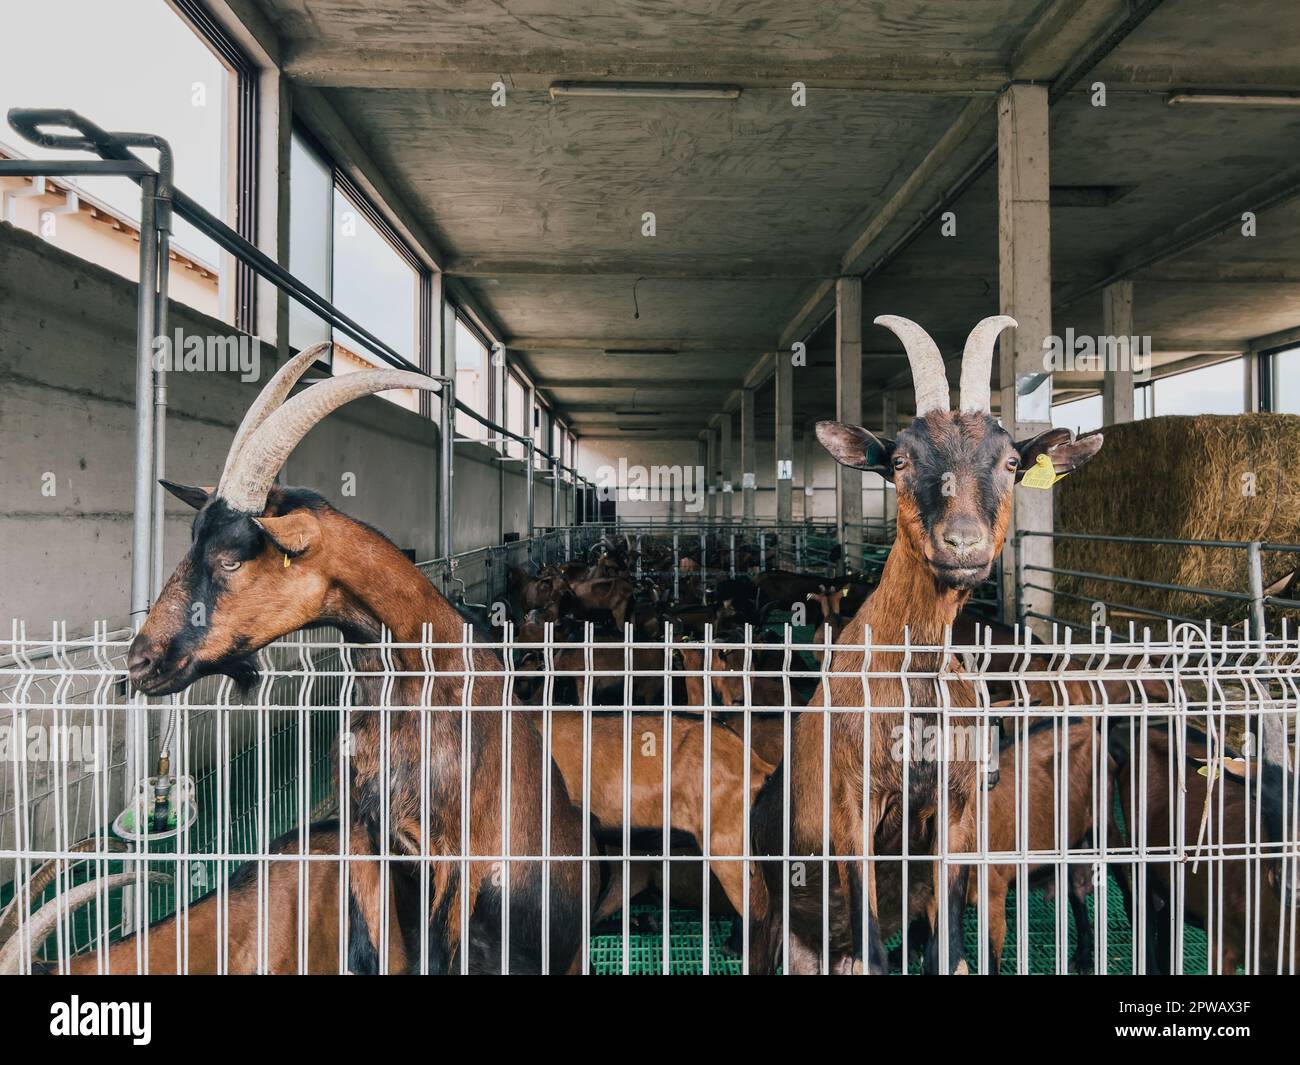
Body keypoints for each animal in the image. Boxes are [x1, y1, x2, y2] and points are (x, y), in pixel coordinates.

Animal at [749, 315, 1104, 974]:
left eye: (1012, 462)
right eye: (900, 460)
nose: (962, 544)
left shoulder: (958, 807)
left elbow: (953, 950)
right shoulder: (851, 804)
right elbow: (874, 949)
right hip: (770, 914)